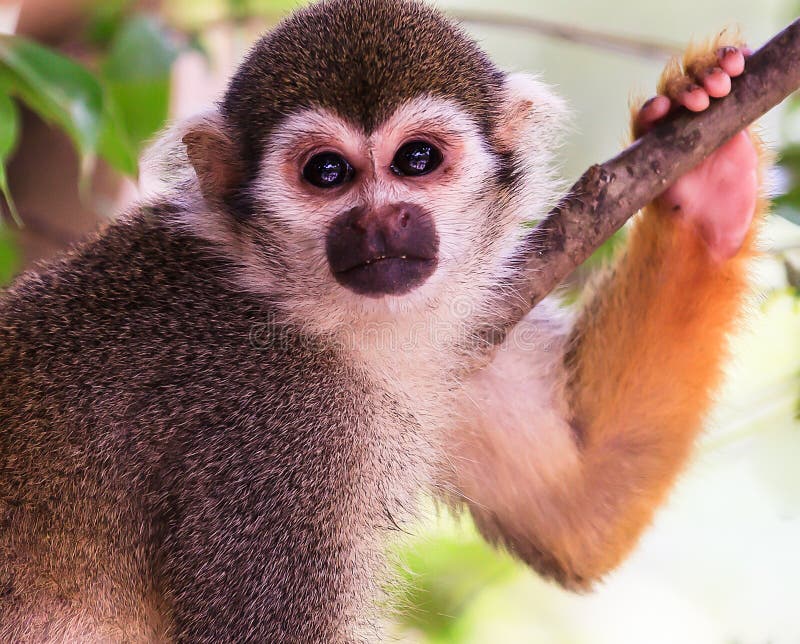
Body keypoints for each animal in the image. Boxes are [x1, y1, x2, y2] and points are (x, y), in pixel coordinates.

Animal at [0, 0, 766, 641]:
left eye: (417, 159)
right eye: (327, 172)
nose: (379, 222)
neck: (311, 314)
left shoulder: (461, 329)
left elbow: (580, 506)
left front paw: (707, 178)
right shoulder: (272, 431)